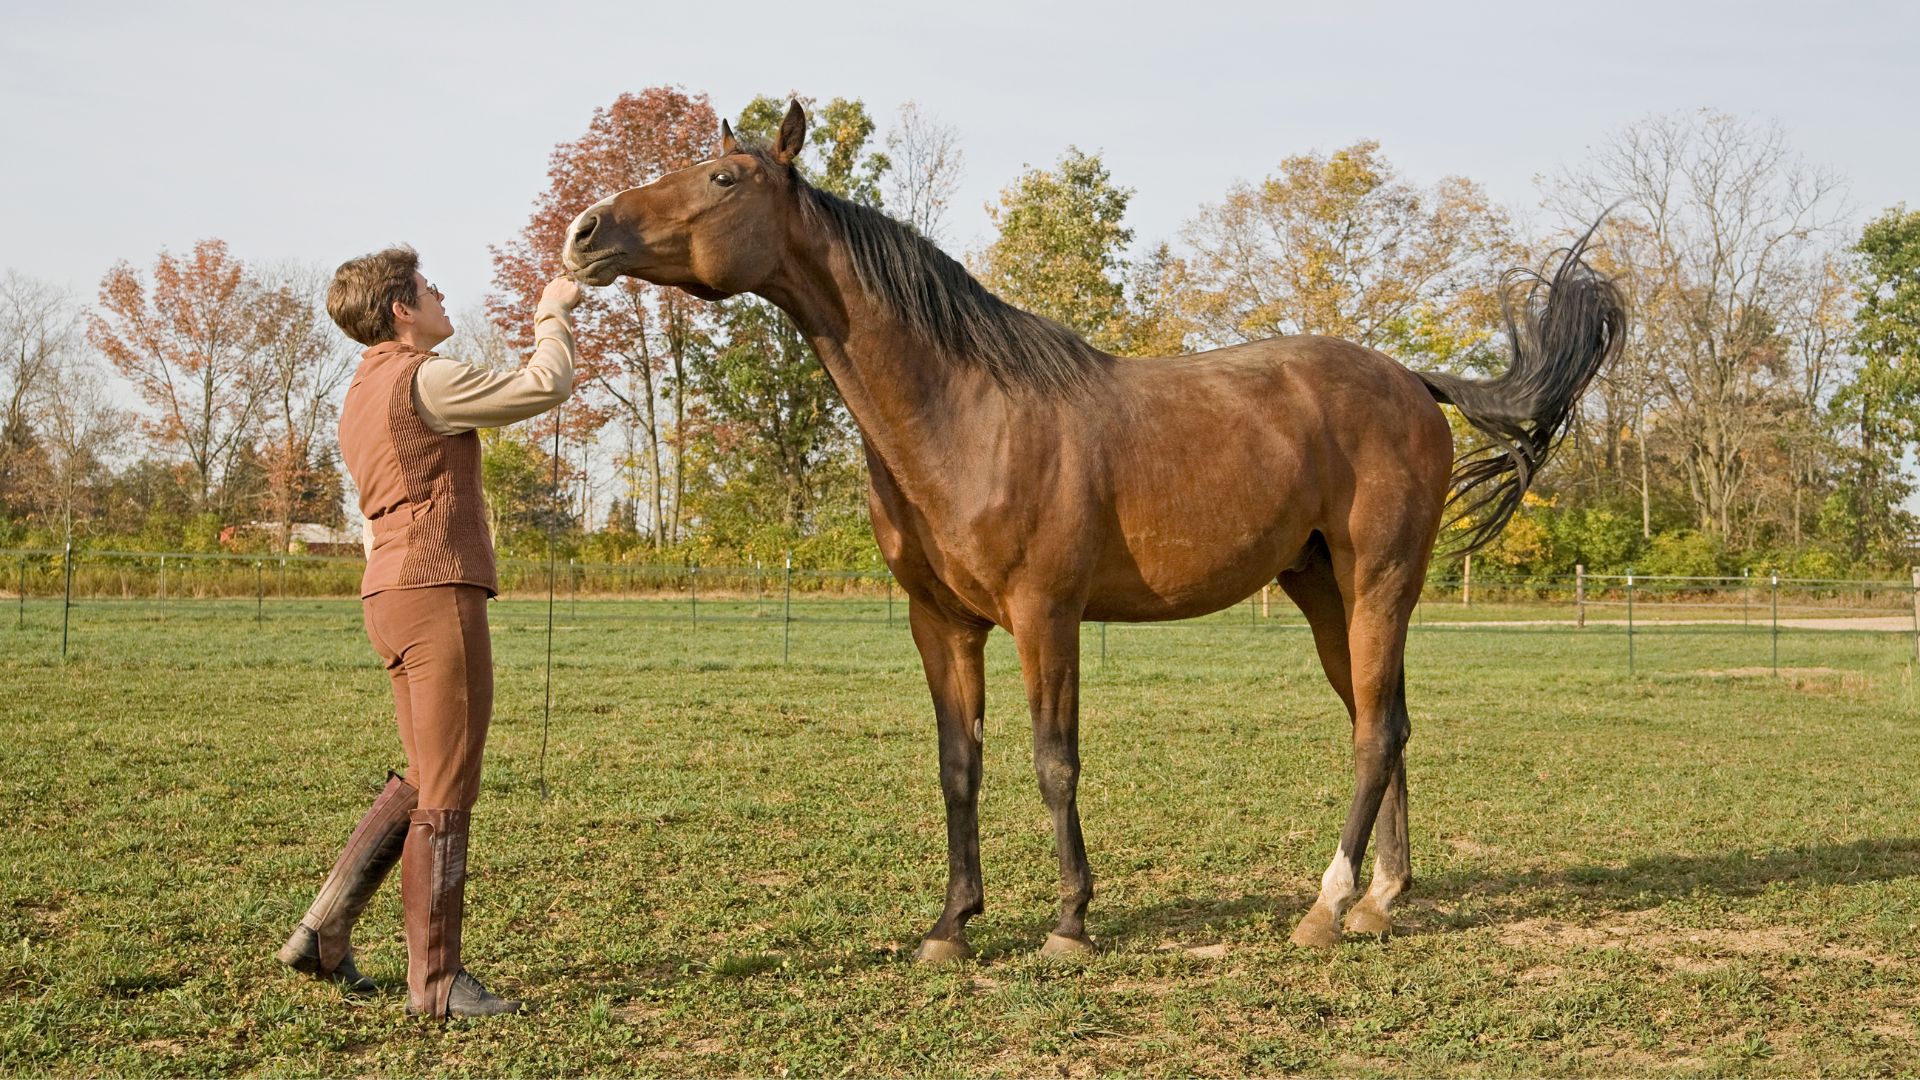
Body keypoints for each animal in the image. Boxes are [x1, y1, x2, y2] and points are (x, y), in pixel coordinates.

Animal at [563, 102, 1624, 960]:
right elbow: (959, 766)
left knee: (1375, 734)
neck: (967, 413)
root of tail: (1414, 380)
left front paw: (1070, 923)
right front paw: (951, 927)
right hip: (1328, 593)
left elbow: (1053, 761)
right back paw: (1379, 902)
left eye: (723, 179)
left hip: (1380, 583)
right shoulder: (941, 624)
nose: (584, 232)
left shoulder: (1047, 616)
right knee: (1385, 722)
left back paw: (1326, 909)